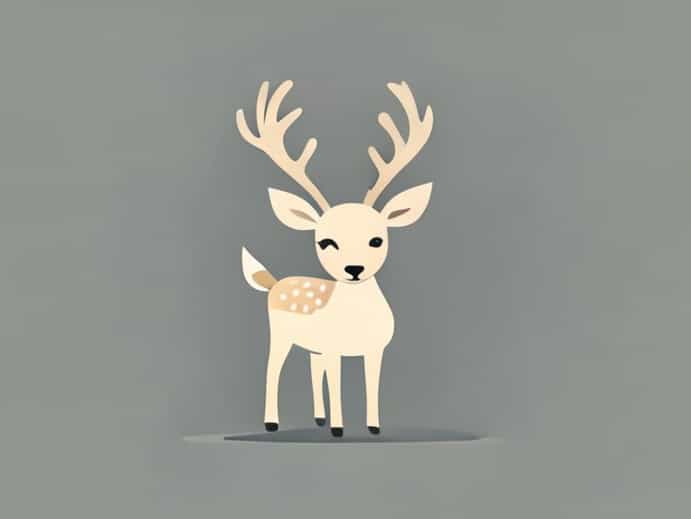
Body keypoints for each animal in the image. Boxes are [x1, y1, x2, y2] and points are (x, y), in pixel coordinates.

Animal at [237, 80, 433, 437]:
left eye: (377, 240)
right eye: (325, 242)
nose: (354, 269)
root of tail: (274, 283)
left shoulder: (375, 349)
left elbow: (371, 386)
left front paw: (373, 427)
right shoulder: (334, 349)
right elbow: (338, 387)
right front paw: (339, 429)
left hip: (312, 345)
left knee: (313, 366)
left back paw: (319, 418)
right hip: (281, 334)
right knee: (273, 369)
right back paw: (273, 423)